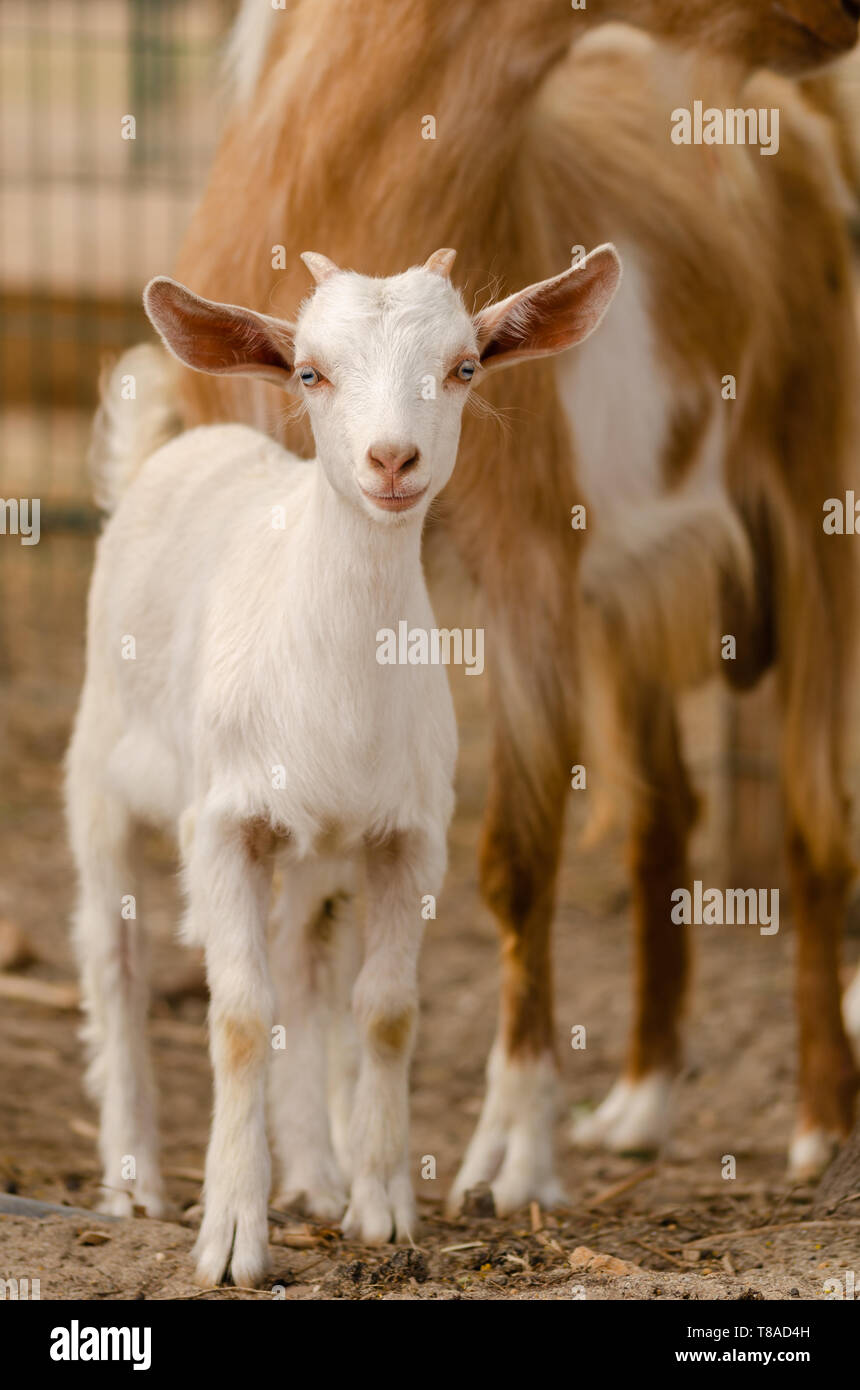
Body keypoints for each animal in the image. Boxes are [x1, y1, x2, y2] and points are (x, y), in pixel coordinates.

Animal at [66, 246, 621, 1285]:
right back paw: (134, 1183)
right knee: (115, 959)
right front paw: (230, 1239)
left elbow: (385, 1011)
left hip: (320, 844)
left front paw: (383, 1209)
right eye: (310, 373)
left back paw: (317, 1177)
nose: (392, 461)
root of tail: (173, 454)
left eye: (464, 367)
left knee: (302, 963)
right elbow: (240, 1015)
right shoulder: (222, 822)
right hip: (101, 771)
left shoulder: (410, 835)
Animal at [172, 0, 860, 1209]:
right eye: (307, 375)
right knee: (664, 815)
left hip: (814, 470)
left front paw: (510, 1153)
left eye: (464, 367)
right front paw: (339, 1155)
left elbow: (519, 855)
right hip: (634, 588)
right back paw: (638, 1104)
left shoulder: (527, 558)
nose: (845, 20)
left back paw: (821, 1122)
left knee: (815, 816)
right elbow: (335, 888)